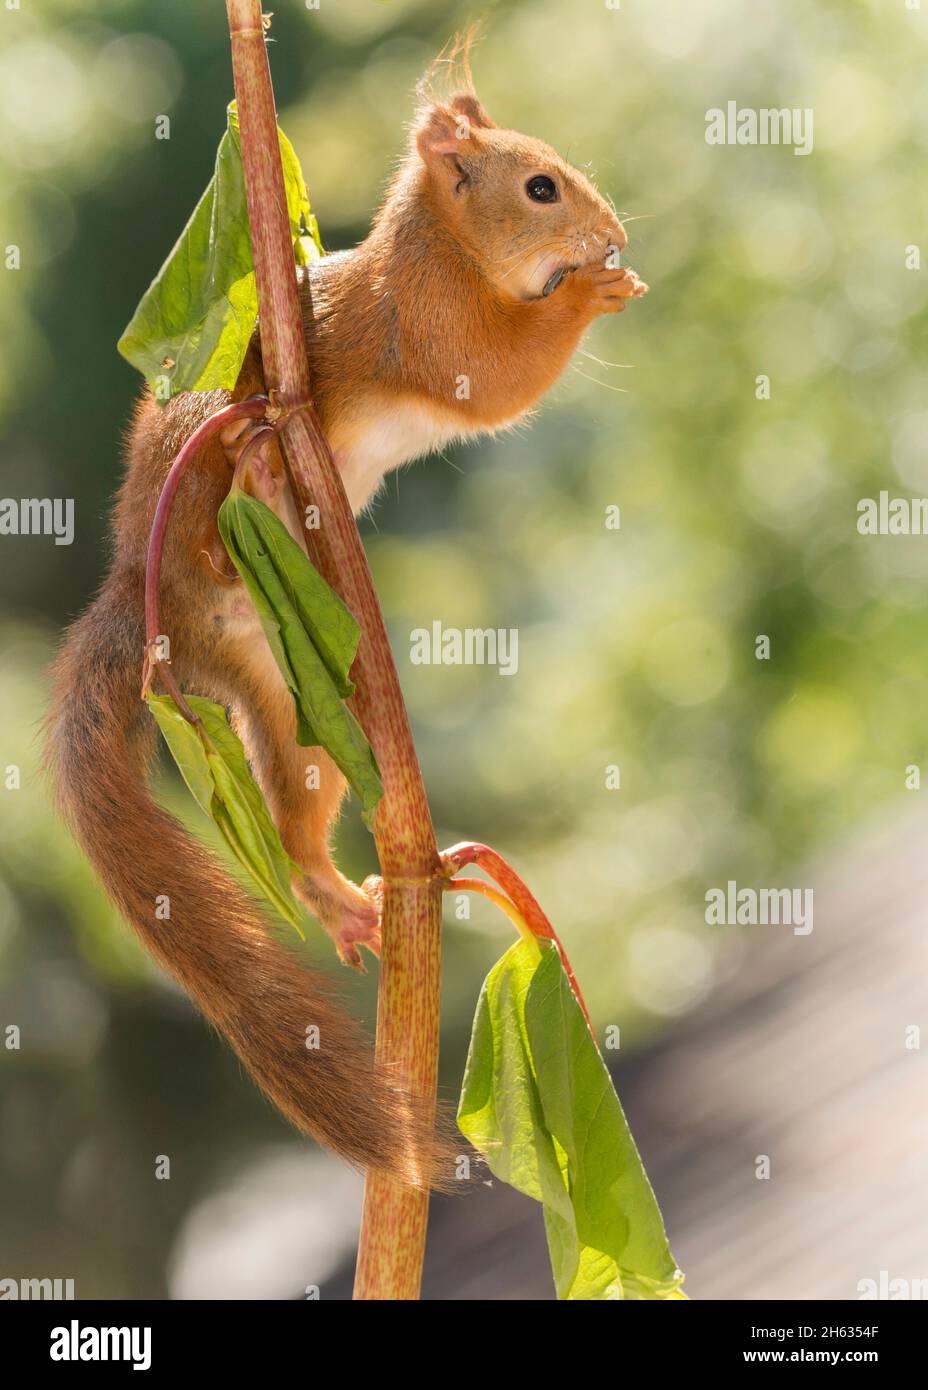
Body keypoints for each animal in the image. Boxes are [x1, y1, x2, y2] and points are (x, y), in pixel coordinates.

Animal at [45, 75, 647, 1186]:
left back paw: (339, 899)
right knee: (215, 504)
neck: (442, 254)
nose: (614, 235)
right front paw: (592, 297)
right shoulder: (429, 328)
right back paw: (252, 479)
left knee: (292, 823)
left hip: (291, 701)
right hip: (200, 492)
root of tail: (139, 592)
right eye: (540, 186)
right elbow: (498, 374)